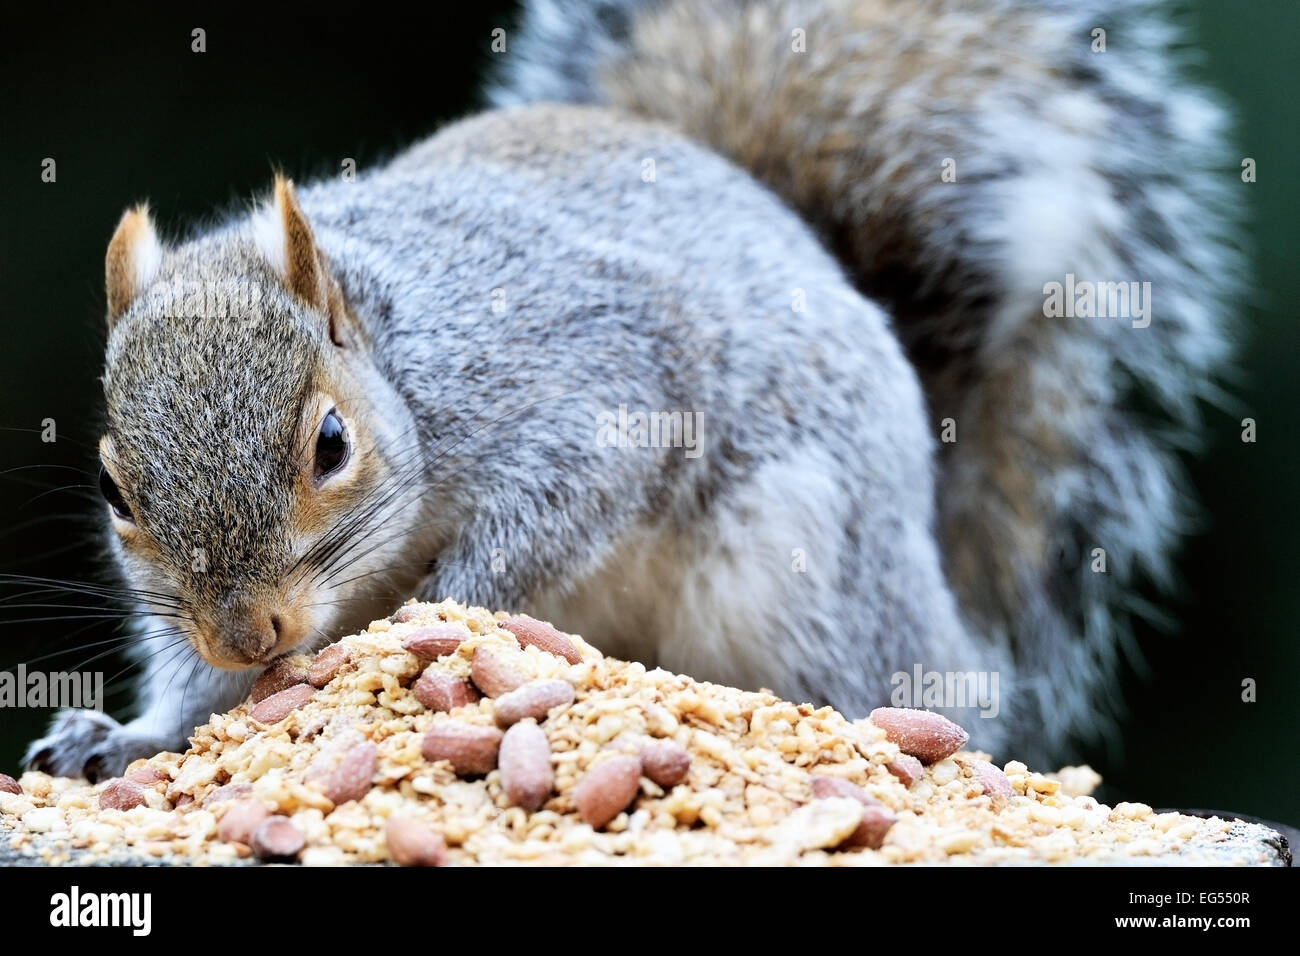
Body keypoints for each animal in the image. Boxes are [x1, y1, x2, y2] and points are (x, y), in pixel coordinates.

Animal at [26, 0, 1236, 780]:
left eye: (331, 443)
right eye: (114, 489)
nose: (247, 637)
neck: (399, 348)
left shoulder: (588, 387)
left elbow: (551, 517)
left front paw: (427, 620)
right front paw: (130, 736)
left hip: (805, 578)